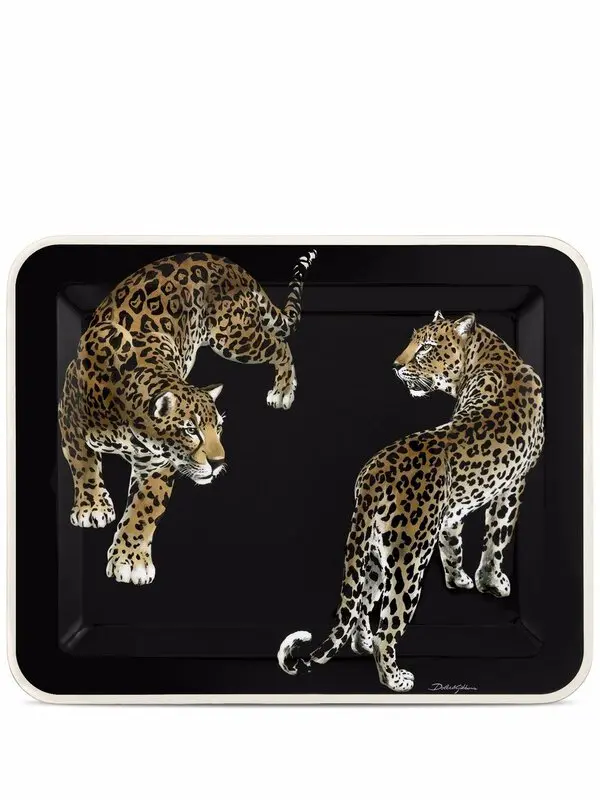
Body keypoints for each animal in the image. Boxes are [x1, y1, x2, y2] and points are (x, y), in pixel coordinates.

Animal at [59, 248, 317, 585]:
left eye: (218, 428)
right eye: (190, 430)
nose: (219, 463)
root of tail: (226, 262)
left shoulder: (157, 462)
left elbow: (145, 507)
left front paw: (131, 560)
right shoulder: (68, 413)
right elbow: (82, 462)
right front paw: (92, 506)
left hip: (232, 336)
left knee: (279, 344)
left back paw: (284, 390)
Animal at [278, 310, 544, 692]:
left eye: (427, 347)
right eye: (411, 342)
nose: (396, 366)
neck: (493, 356)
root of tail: (373, 473)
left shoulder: (452, 511)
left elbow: (454, 542)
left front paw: (460, 580)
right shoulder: (512, 487)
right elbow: (497, 539)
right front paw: (493, 583)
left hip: (374, 551)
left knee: (362, 602)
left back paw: (362, 644)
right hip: (410, 557)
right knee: (389, 625)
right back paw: (395, 678)